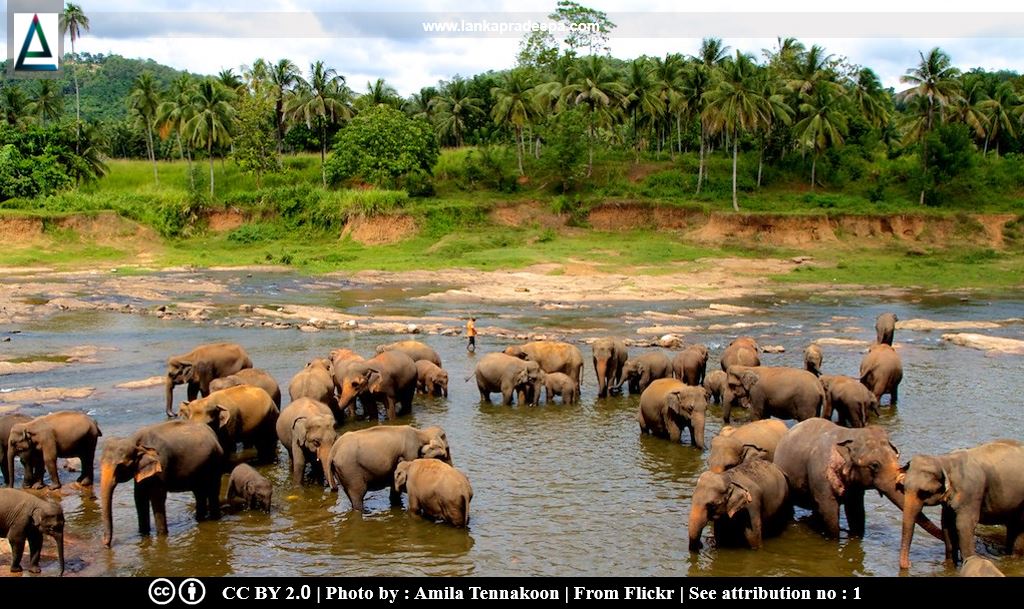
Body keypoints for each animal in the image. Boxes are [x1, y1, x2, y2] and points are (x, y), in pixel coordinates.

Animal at [773, 418, 942, 541]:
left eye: (897, 457)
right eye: (874, 465)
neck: (851, 434)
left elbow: (856, 511)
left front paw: (855, 537)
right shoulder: (820, 475)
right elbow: (828, 509)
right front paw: (835, 539)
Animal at [897, 439, 1024, 570]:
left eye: (924, 492)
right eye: (903, 488)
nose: (910, 564)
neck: (945, 461)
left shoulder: (971, 494)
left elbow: (963, 526)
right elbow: (947, 524)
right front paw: (948, 565)